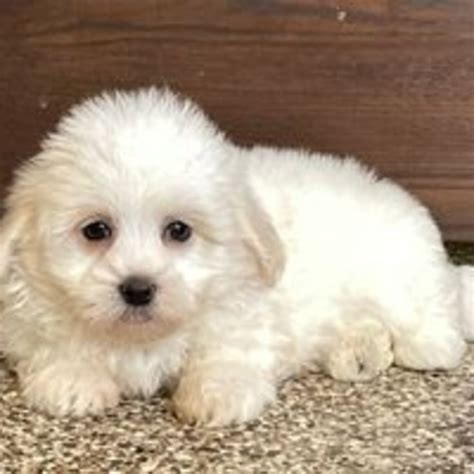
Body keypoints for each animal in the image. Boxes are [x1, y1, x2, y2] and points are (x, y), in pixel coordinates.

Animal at [0, 89, 472, 426]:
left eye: (179, 231)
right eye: (96, 230)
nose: (137, 289)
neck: (144, 335)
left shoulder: (246, 314)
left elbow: (229, 350)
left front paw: (217, 393)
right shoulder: (29, 315)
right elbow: (54, 344)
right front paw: (72, 379)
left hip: (397, 279)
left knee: (432, 316)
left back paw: (426, 344)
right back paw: (357, 353)